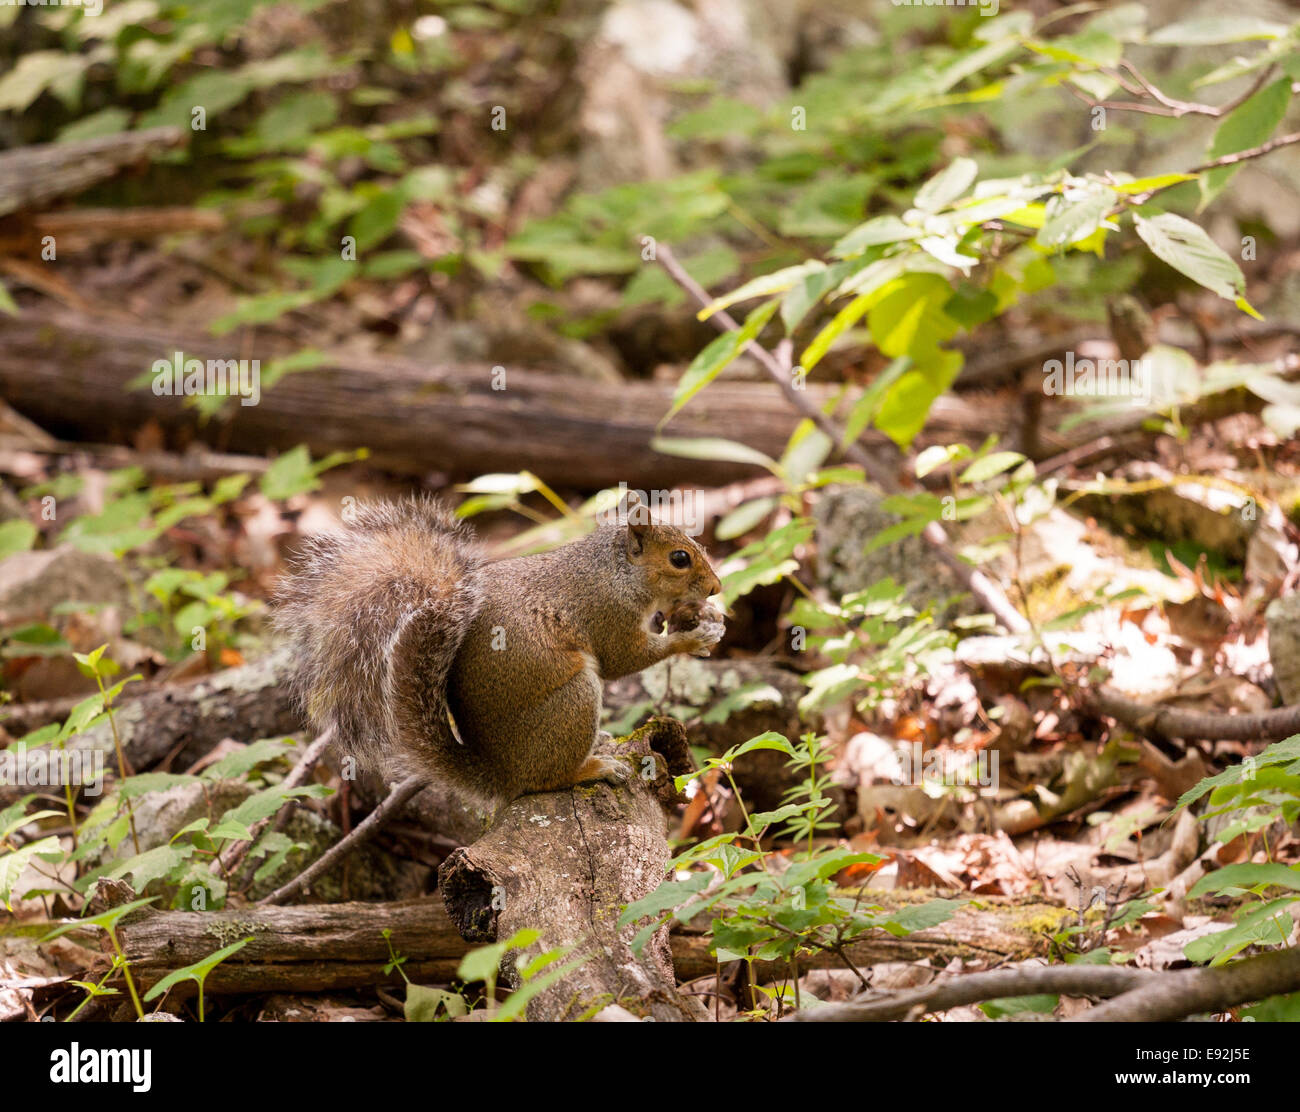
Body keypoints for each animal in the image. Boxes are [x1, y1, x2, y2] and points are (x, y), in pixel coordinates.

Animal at [274, 492, 724, 807]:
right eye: (680, 558)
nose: (716, 587)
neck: (616, 572)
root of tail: (501, 774)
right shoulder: (605, 612)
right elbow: (624, 658)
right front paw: (692, 638)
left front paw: (699, 615)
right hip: (573, 700)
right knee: (545, 779)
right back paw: (591, 768)